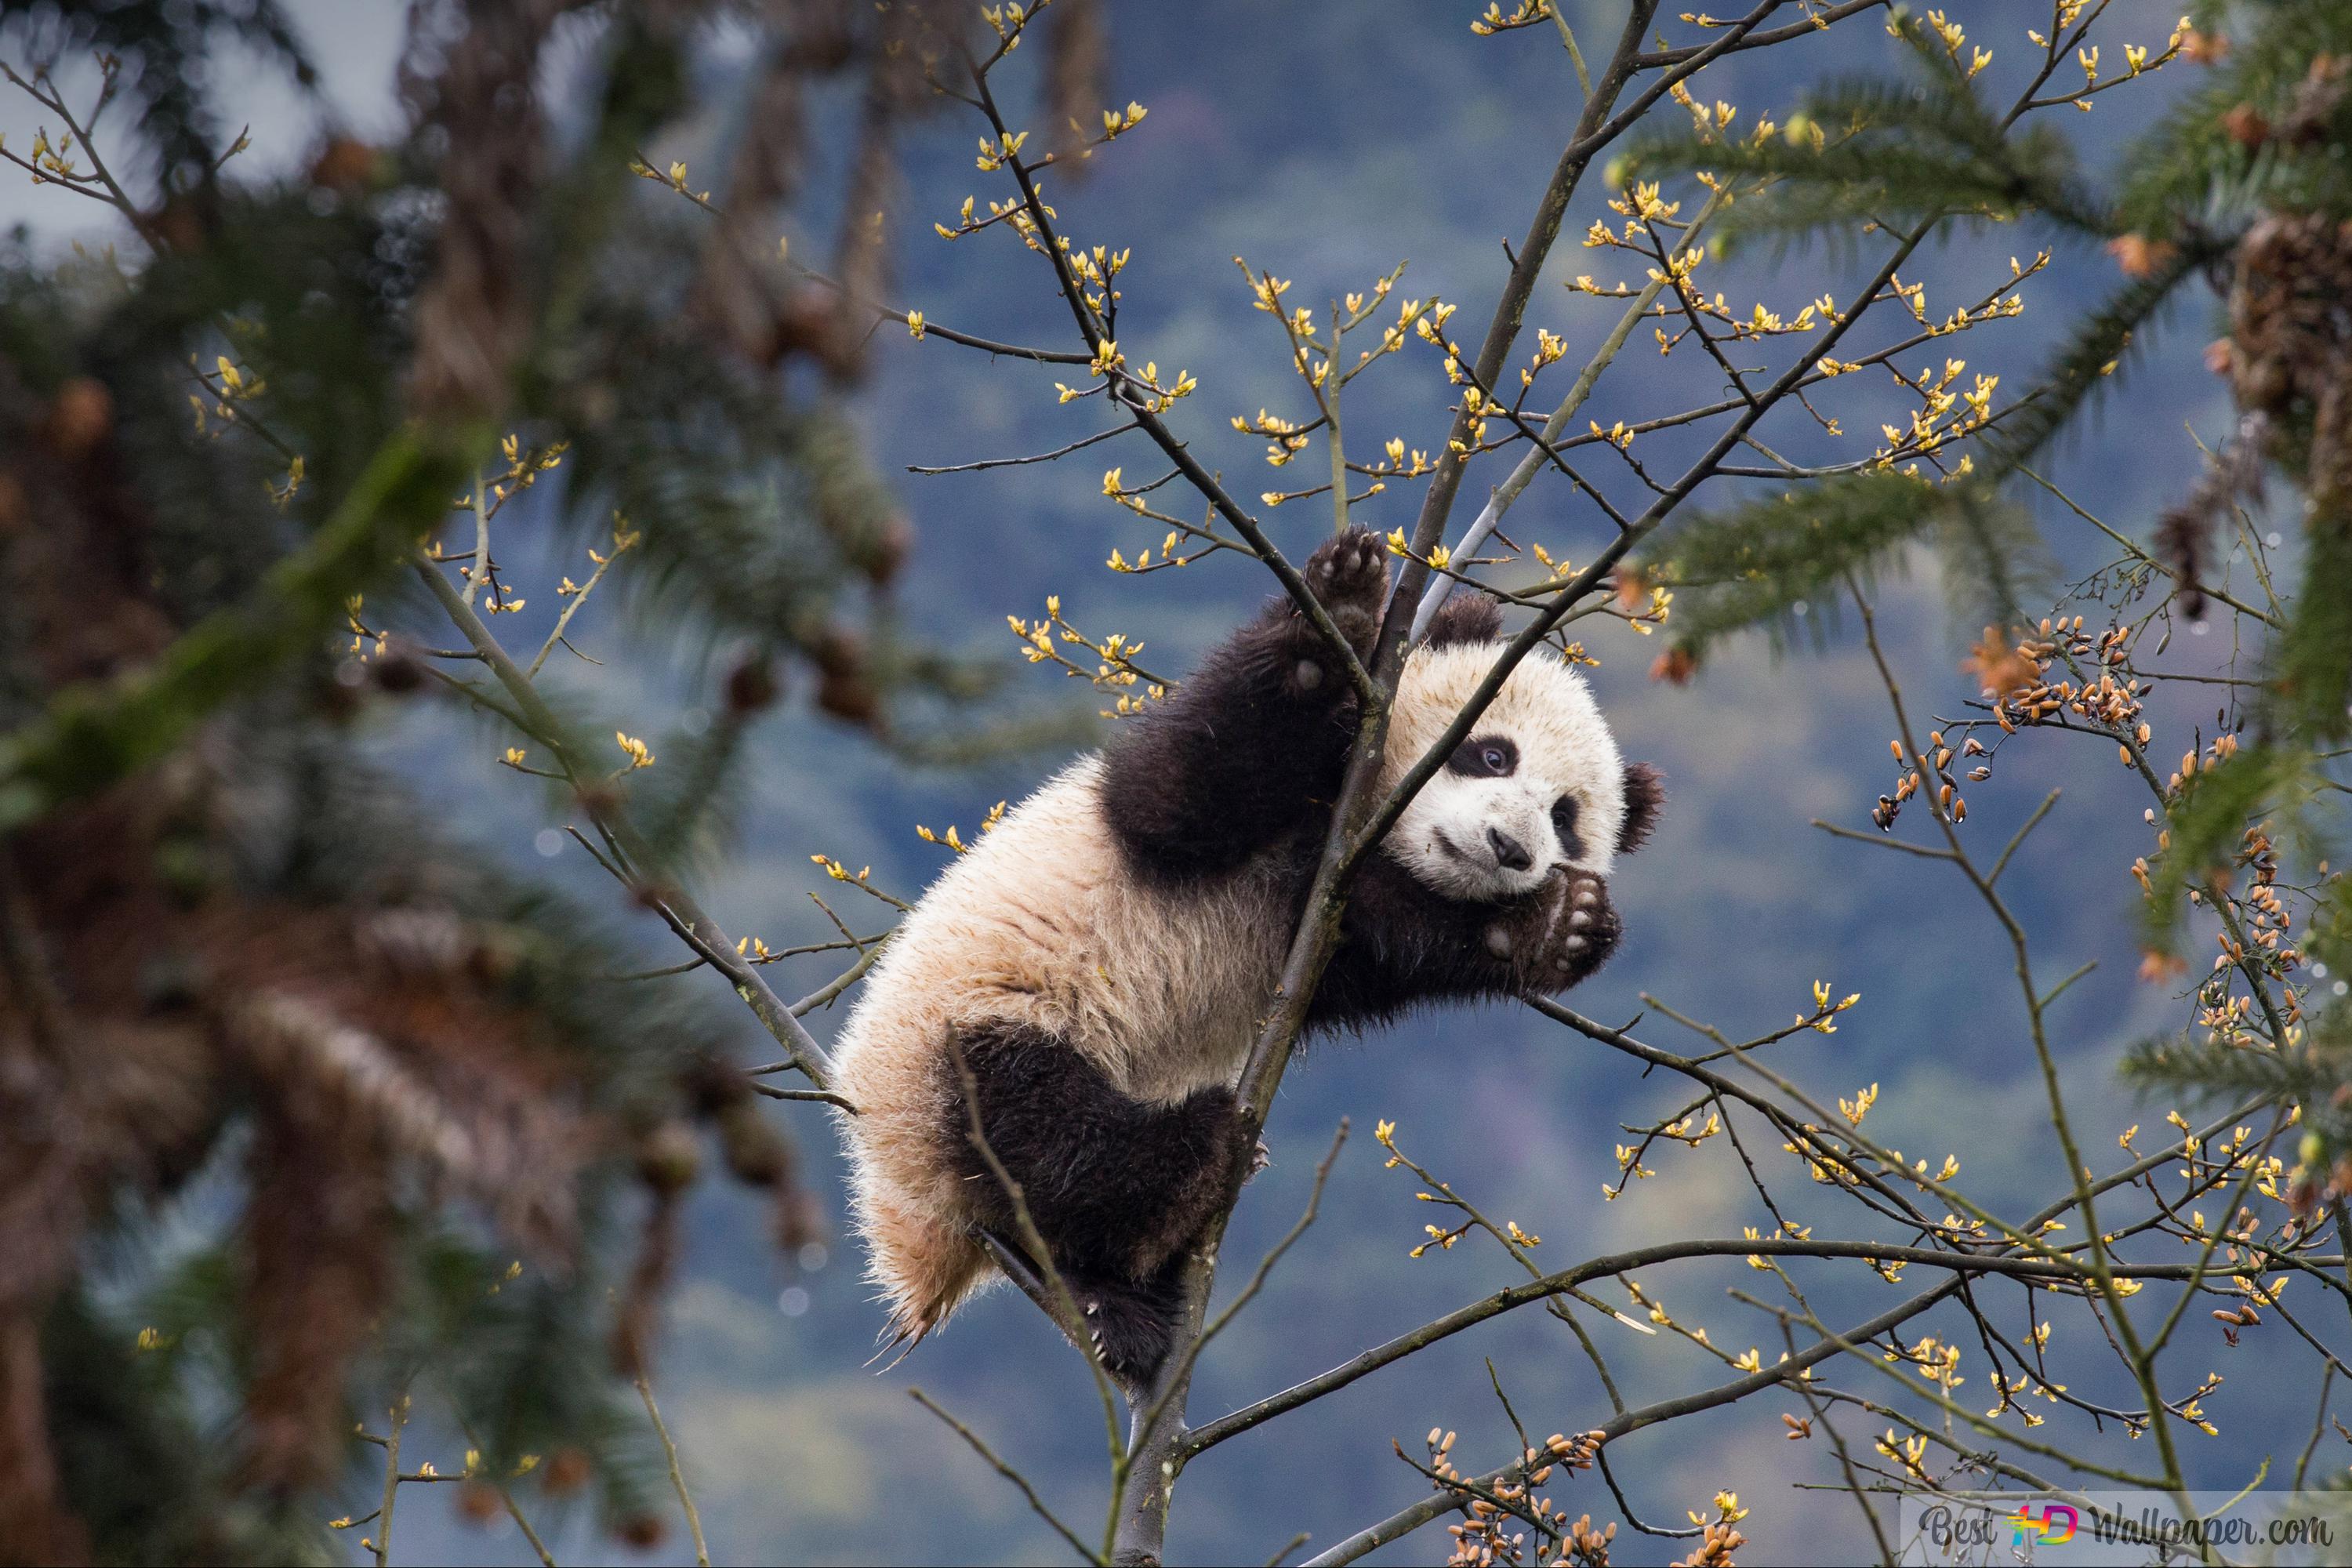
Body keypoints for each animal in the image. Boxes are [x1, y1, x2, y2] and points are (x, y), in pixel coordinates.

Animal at [830, 527, 1662, 1385]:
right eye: (1494, 755)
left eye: (1564, 820)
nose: (1508, 848)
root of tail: (911, 1222)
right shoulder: (1191, 810)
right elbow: (1184, 791)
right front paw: (1341, 608)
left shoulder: (1326, 917)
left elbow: (1389, 944)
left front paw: (1558, 925)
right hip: (965, 1033)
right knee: (1037, 1130)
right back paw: (1196, 1162)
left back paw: (1123, 1295)